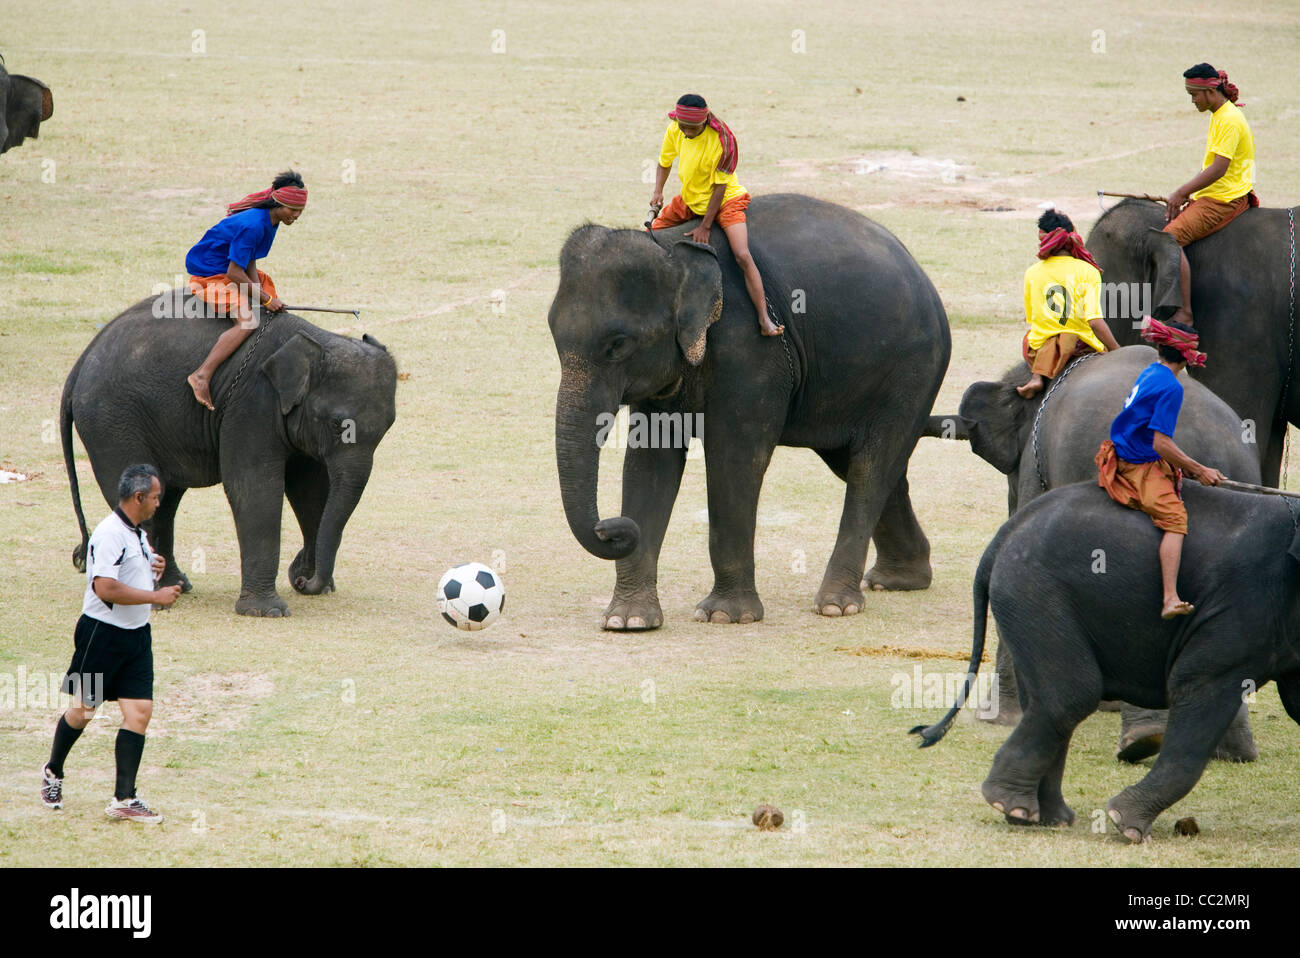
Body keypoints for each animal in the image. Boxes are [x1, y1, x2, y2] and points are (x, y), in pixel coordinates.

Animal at [61, 292, 397, 616]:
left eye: (388, 427)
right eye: (338, 424)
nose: (303, 581)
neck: (316, 339)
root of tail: (79, 365)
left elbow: (309, 488)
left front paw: (314, 584)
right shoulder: (251, 403)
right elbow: (253, 487)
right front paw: (267, 611)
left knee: (164, 497)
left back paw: (175, 586)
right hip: (111, 421)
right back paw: (153, 600)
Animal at [549, 193, 950, 629]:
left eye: (618, 344)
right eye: (553, 335)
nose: (612, 528)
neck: (672, 249)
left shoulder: (753, 352)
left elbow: (736, 459)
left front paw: (726, 615)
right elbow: (648, 462)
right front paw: (629, 621)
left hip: (913, 368)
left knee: (871, 467)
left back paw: (836, 604)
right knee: (867, 465)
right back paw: (900, 579)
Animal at [912, 480, 1300, 842]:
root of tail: (1004, 535)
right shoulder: (1239, 608)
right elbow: (1197, 685)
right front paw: (1125, 826)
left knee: (1045, 699)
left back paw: (1043, 817)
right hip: (1035, 592)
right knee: (1071, 694)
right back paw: (1014, 806)